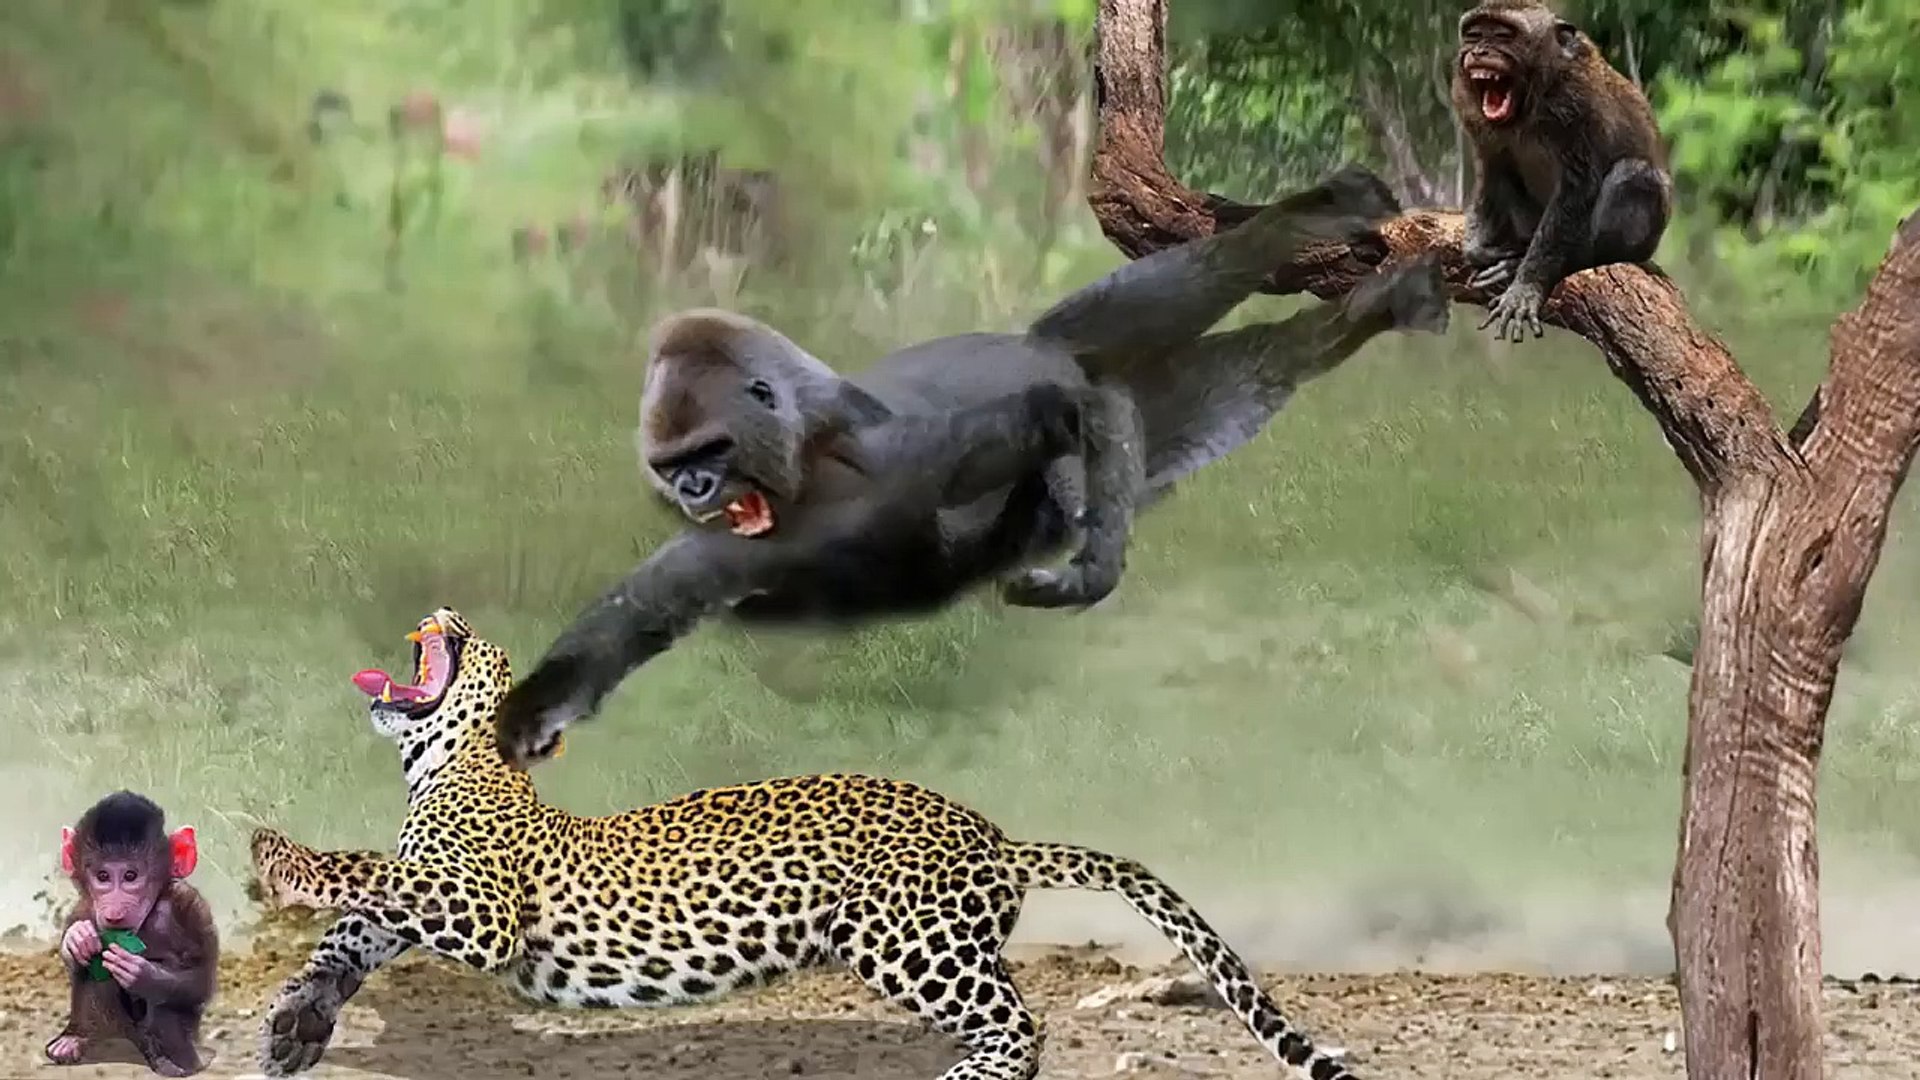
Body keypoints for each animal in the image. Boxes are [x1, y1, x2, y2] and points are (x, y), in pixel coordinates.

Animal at [46, 792, 218, 1077]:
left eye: (130, 876)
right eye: (103, 876)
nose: (114, 910)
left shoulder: (190, 906)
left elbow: (200, 981)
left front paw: (141, 973)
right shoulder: (84, 907)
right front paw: (76, 939)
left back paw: (171, 1063)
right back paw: (75, 1041)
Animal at [247, 605, 1359, 1080]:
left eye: (480, 639)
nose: (445, 604)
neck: (442, 759)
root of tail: (994, 832)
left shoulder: (482, 912)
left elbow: (362, 871)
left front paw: (277, 855)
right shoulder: (432, 901)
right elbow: (360, 922)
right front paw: (300, 1019)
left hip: (906, 940)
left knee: (1022, 1027)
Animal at [487, 164, 1454, 768]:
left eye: (712, 454)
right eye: (674, 462)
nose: (691, 490)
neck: (808, 460)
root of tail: (1030, 342)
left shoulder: (891, 456)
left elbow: (1063, 420)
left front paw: (1092, 566)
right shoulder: (721, 542)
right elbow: (632, 620)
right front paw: (532, 712)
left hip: (1052, 348)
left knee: (1157, 334)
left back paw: (1321, 231)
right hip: (1082, 362)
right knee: (1205, 379)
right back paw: (1361, 306)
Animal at [1452, 0, 1672, 342]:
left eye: (1503, 35)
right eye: (1474, 35)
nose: (1479, 51)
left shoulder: (1578, 103)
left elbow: (1577, 190)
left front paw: (1527, 285)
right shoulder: (1468, 106)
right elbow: (1492, 171)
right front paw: (1479, 250)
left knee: (1634, 174)